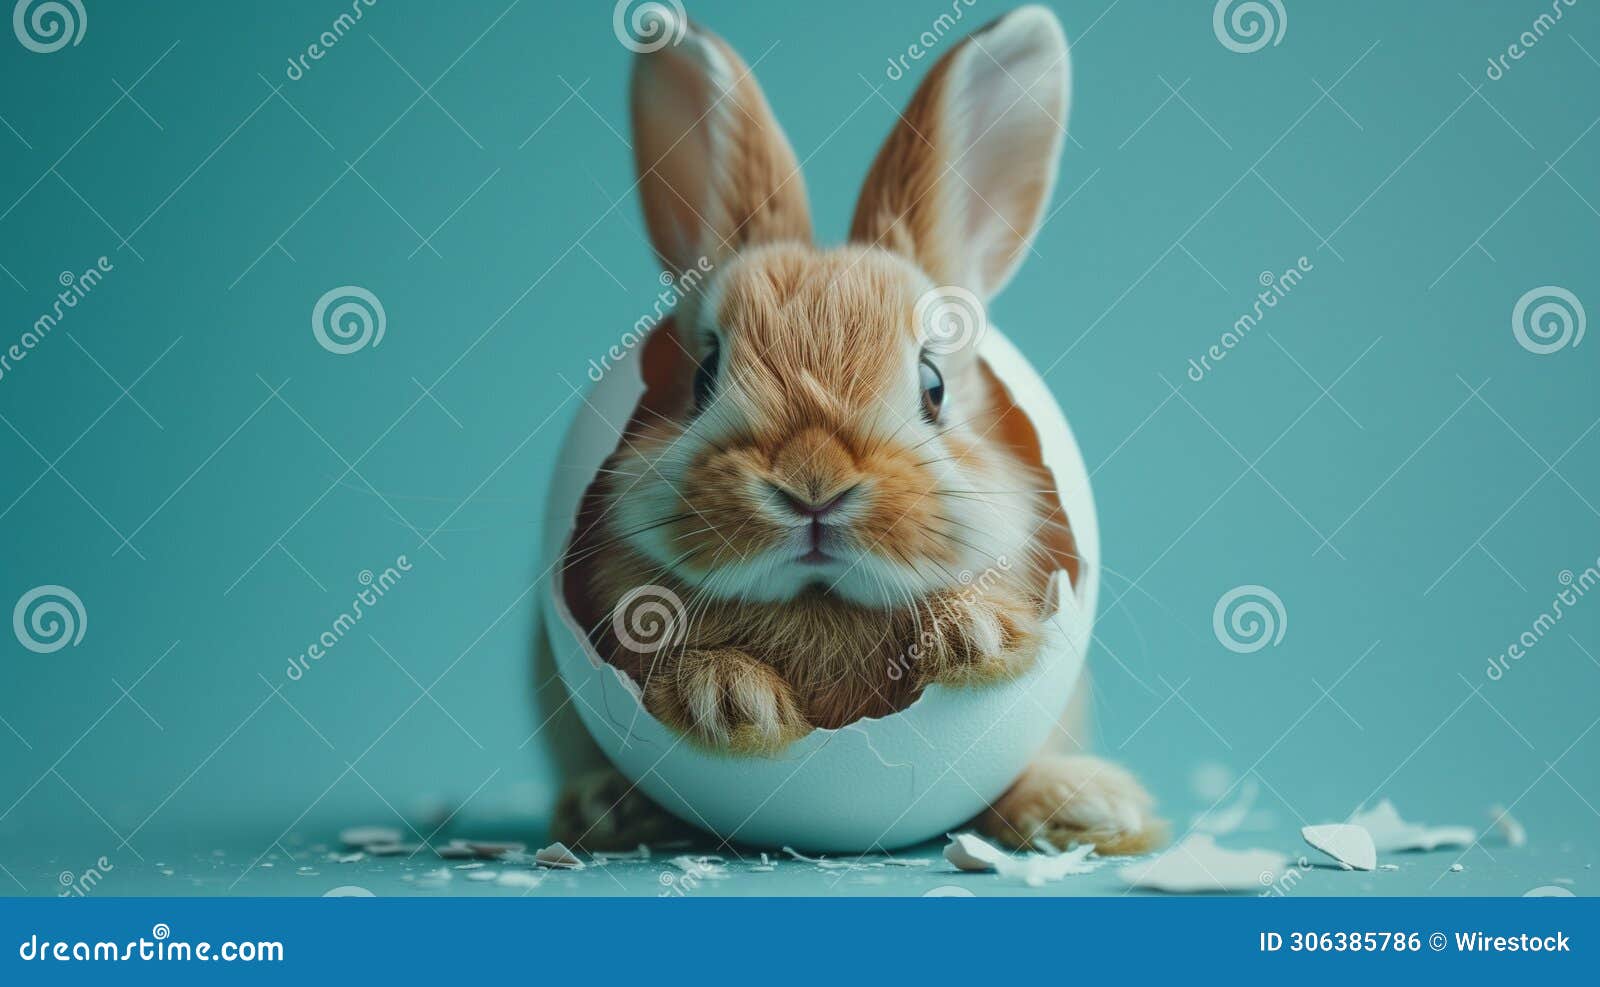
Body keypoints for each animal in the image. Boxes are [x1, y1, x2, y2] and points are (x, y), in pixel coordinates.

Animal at [548, 5, 1164, 857]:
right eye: (703, 378)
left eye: (934, 385)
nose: (814, 484)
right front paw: (729, 696)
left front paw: (978, 631)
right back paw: (606, 807)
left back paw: (1090, 807)